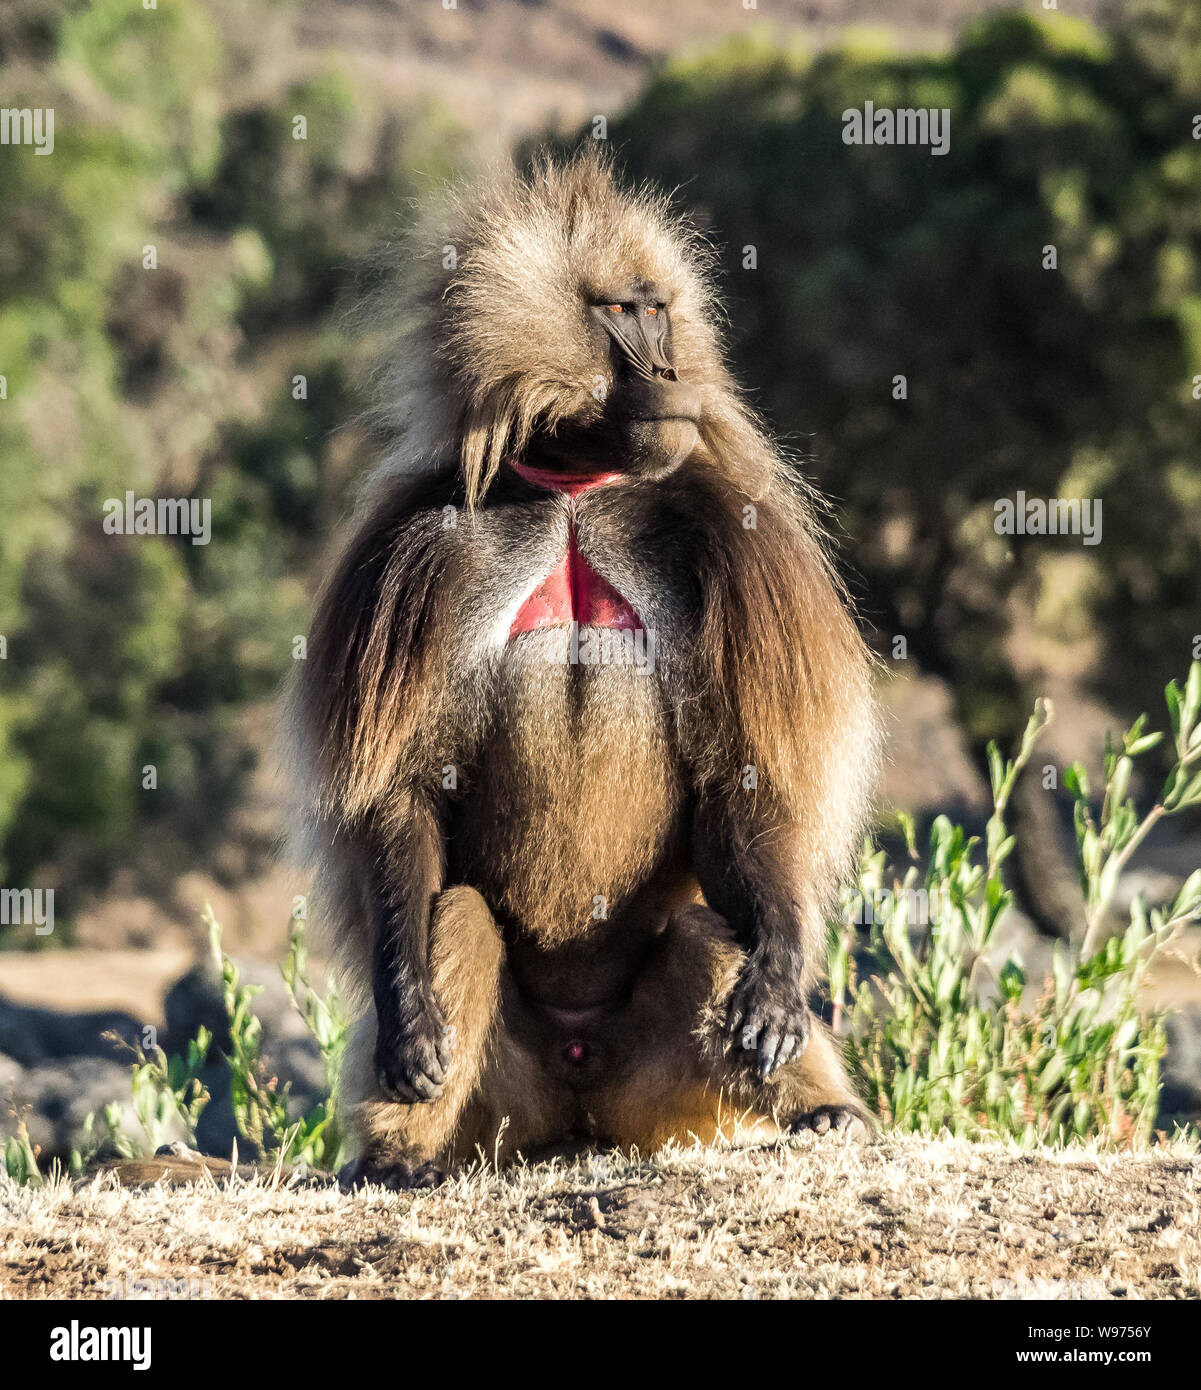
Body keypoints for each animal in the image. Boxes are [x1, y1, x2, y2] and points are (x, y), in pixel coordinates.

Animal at [289, 149, 881, 1190]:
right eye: (623, 313)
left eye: (658, 307)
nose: (673, 368)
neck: (572, 485)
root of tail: (578, 1111)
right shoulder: (410, 552)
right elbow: (402, 790)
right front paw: (408, 1029)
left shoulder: (732, 538)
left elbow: (739, 776)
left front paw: (777, 986)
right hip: (505, 1107)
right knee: (458, 917)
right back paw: (397, 1156)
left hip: (661, 1102)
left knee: (705, 939)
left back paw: (821, 1109)